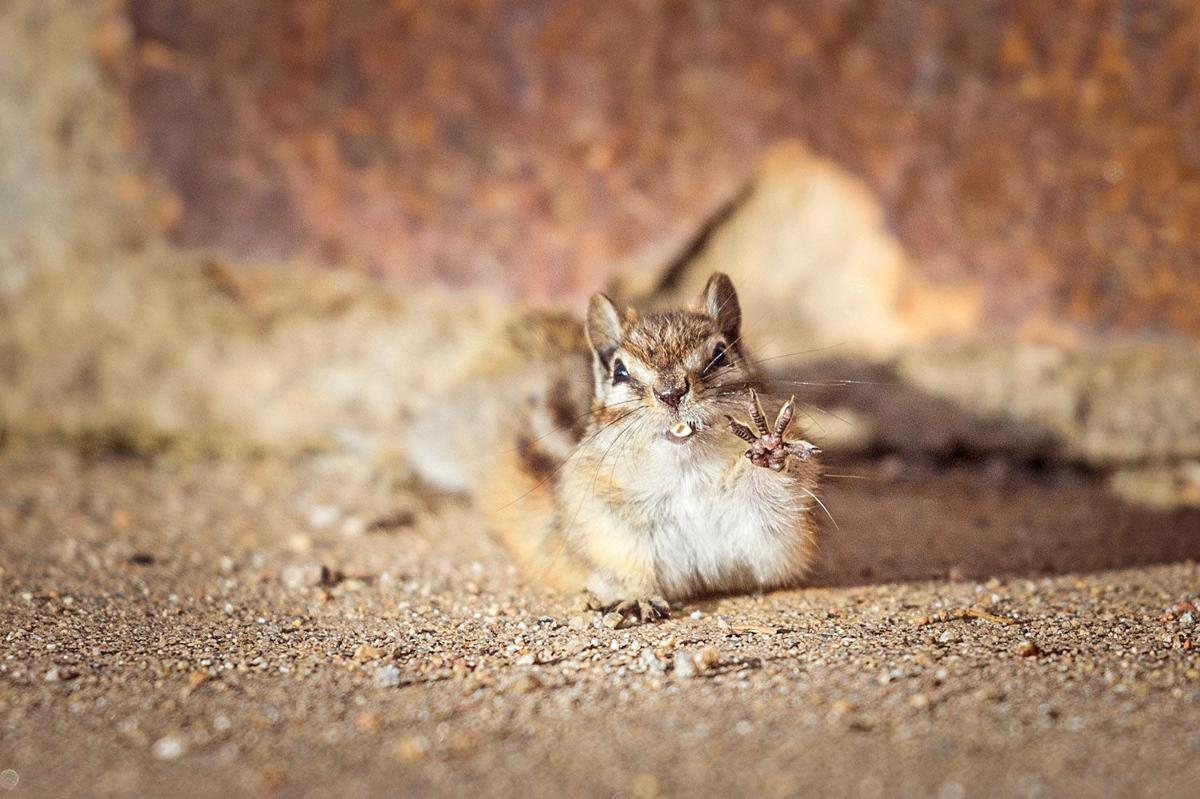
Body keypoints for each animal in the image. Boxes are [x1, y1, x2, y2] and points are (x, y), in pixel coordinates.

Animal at [410, 273, 822, 623]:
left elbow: (773, 521)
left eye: (720, 354)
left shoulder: (768, 545)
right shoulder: (604, 523)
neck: (686, 469)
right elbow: (619, 567)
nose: (671, 392)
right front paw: (635, 595)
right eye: (620, 371)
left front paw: (769, 449)